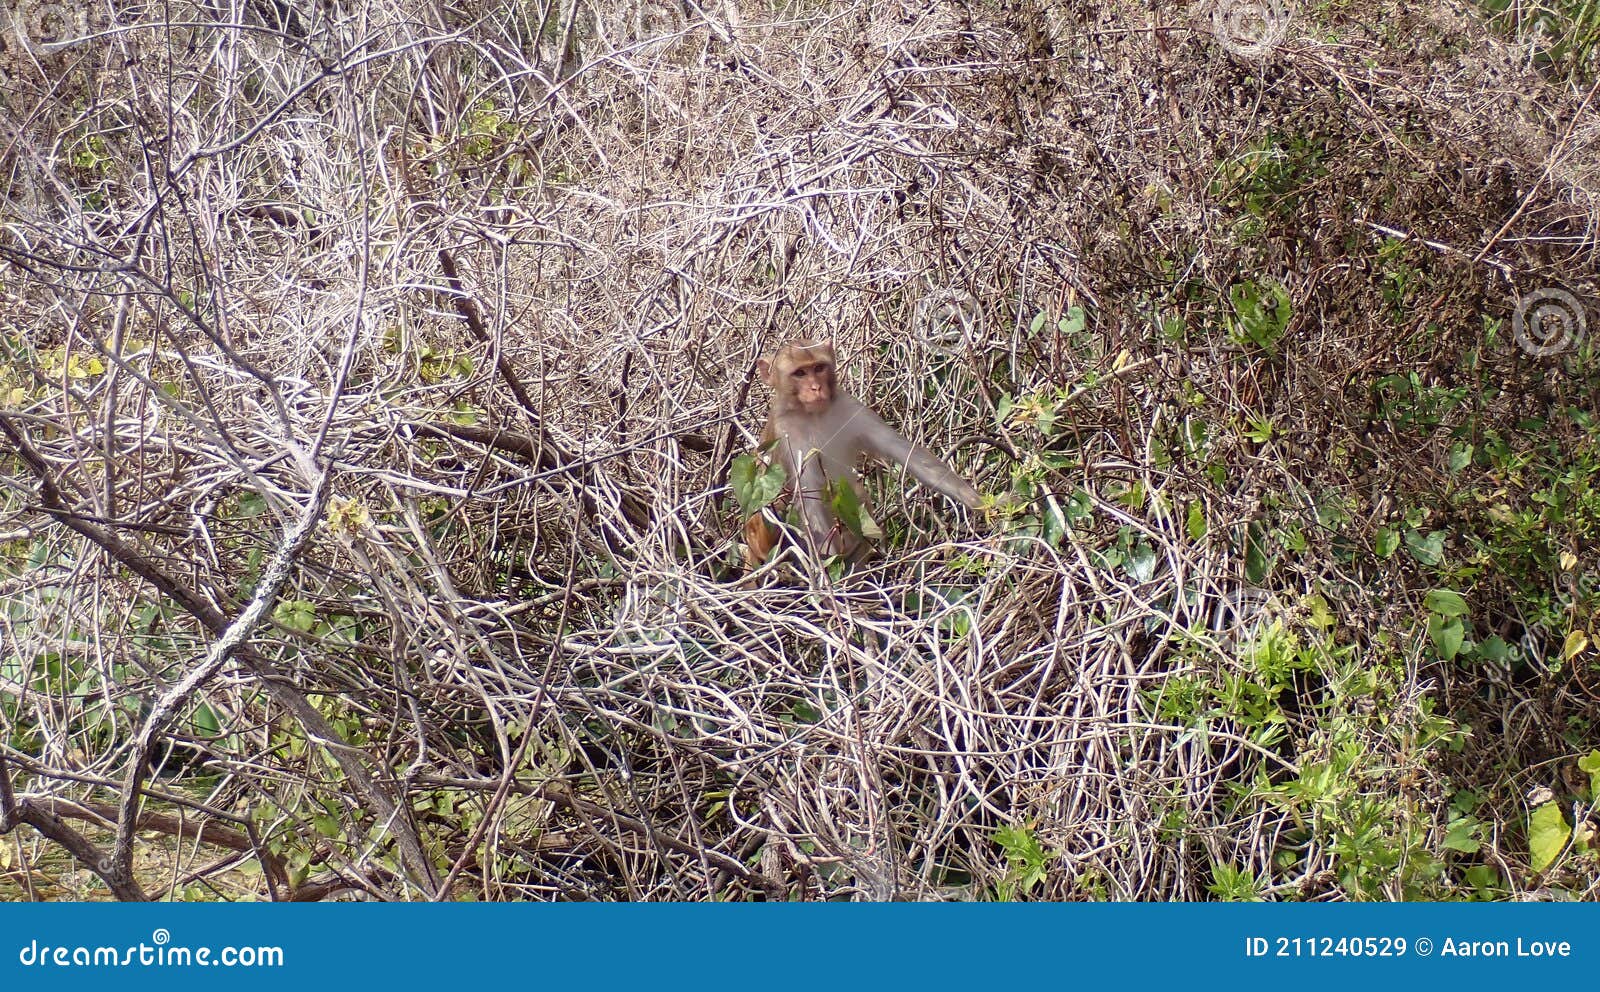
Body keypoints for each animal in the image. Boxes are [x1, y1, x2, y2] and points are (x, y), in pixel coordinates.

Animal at [743, 340, 981, 565]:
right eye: (800, 373)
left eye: (818, 368)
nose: (815, 388)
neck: (813, 415)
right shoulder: (786, 436)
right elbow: (809, 501)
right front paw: (830, 567)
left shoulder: (850, 407)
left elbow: (905, 453)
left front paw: (977, 501)